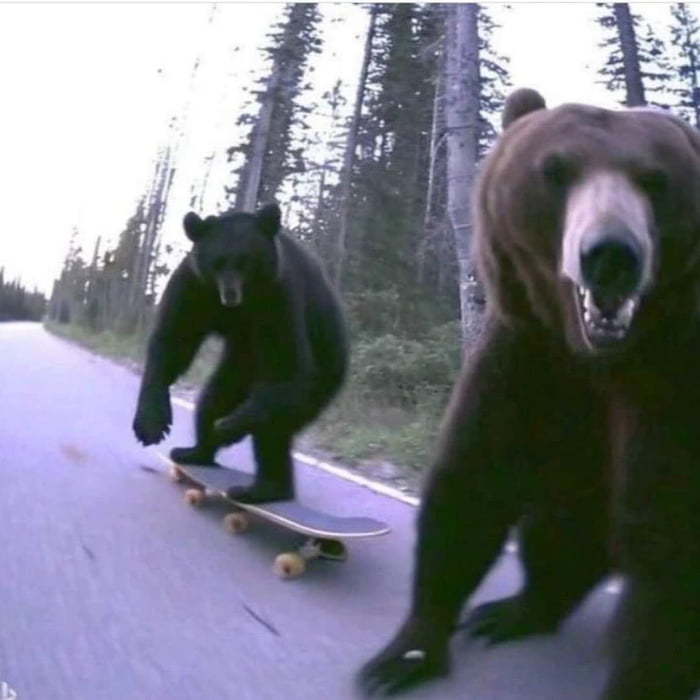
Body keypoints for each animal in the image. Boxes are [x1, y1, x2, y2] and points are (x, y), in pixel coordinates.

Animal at [132, 203, 348, 504]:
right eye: (217, 262)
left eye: (245, 261)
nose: (230, 295)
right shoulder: (194, 285)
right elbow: (174, 340)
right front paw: (151, 423)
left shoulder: (280, 294)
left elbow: (288, 363)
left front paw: (232, 425)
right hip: (238, 367)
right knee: (213, 399)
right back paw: (196, 452)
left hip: (321, 376)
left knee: (274, 425)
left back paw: (263, 487)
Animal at [359, 88, 700, 698]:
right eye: (554, 169)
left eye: (656, 179)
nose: (610, 253)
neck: (597, 359)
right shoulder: (528, 357)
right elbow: (475, 478)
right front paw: (407, 652)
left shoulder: (672, 385)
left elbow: (670, 544)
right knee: (555, 527)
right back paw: (512, 611)